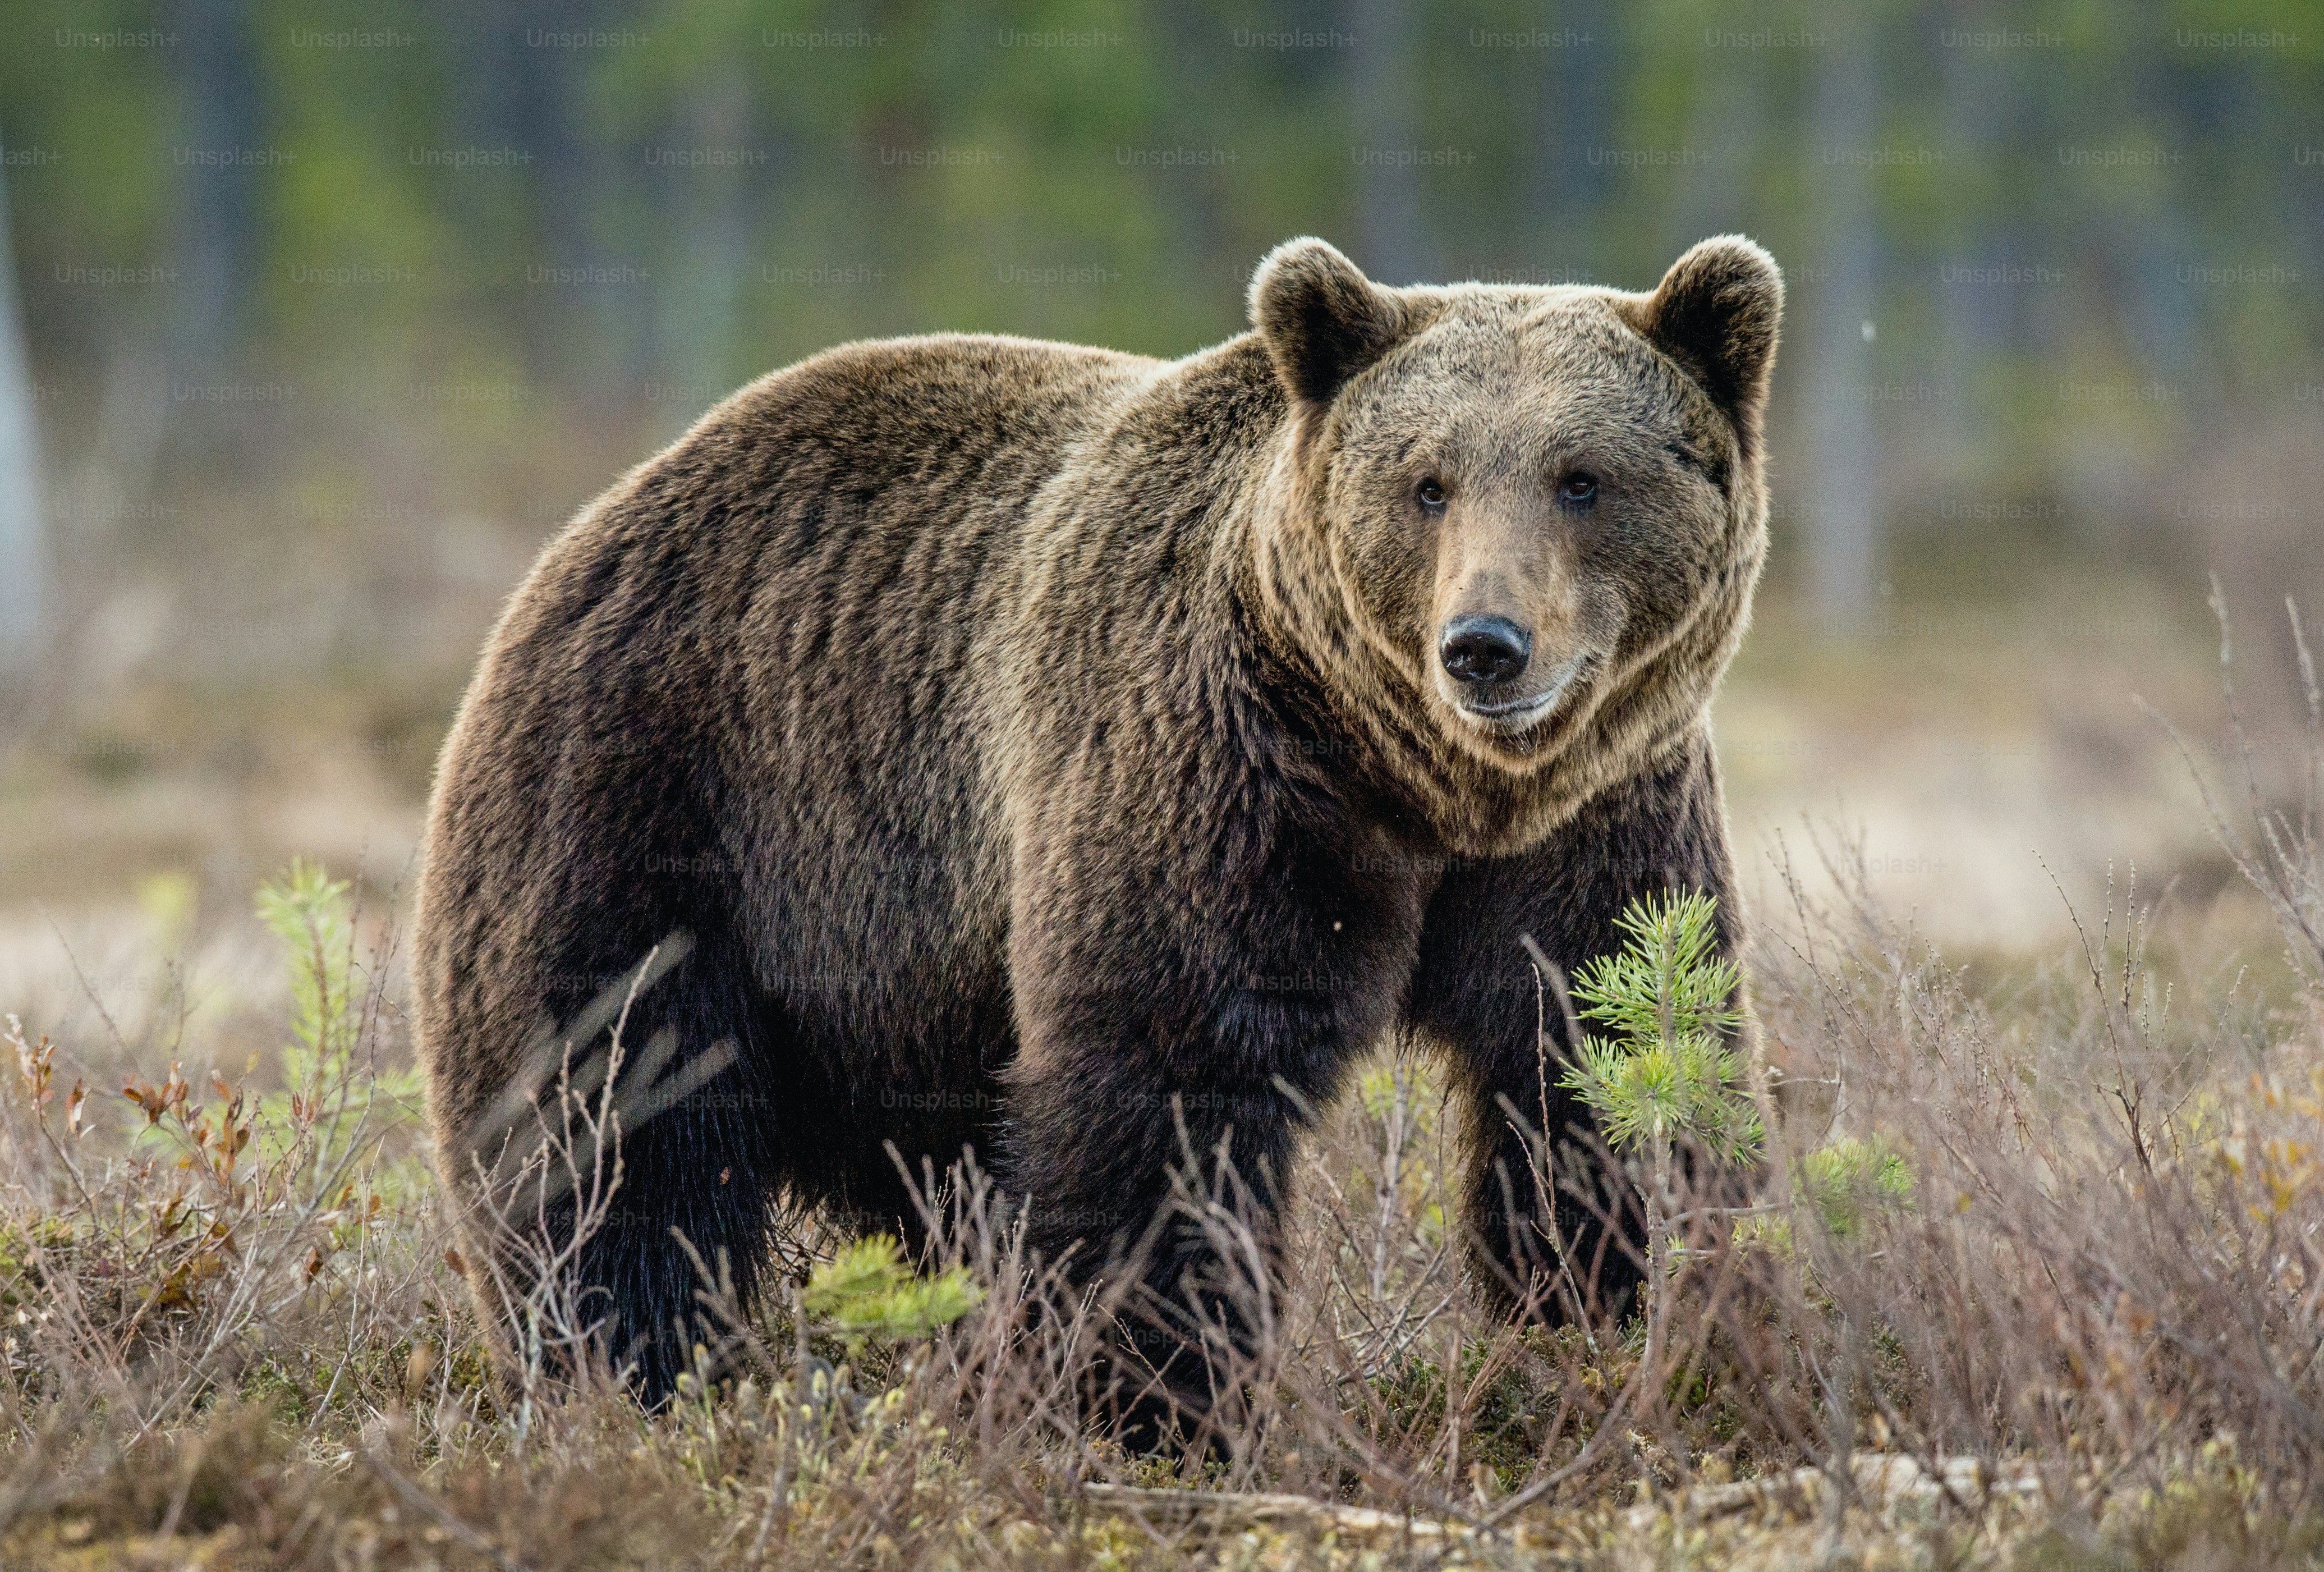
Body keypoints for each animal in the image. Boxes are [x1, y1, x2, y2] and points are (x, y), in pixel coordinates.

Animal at [412, 233, 1781, 1424]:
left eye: (1582, 477)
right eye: (1426, 481)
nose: (1485, 645)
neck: (1421, 784)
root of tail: (594, 520)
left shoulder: (1598, 819)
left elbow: (1603, 1051)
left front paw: (1638, 1319)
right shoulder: (1216, 770)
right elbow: (1169, 1071)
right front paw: (1152, 1401)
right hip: (657, 804)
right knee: (610, 1121)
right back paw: (626, 1369)